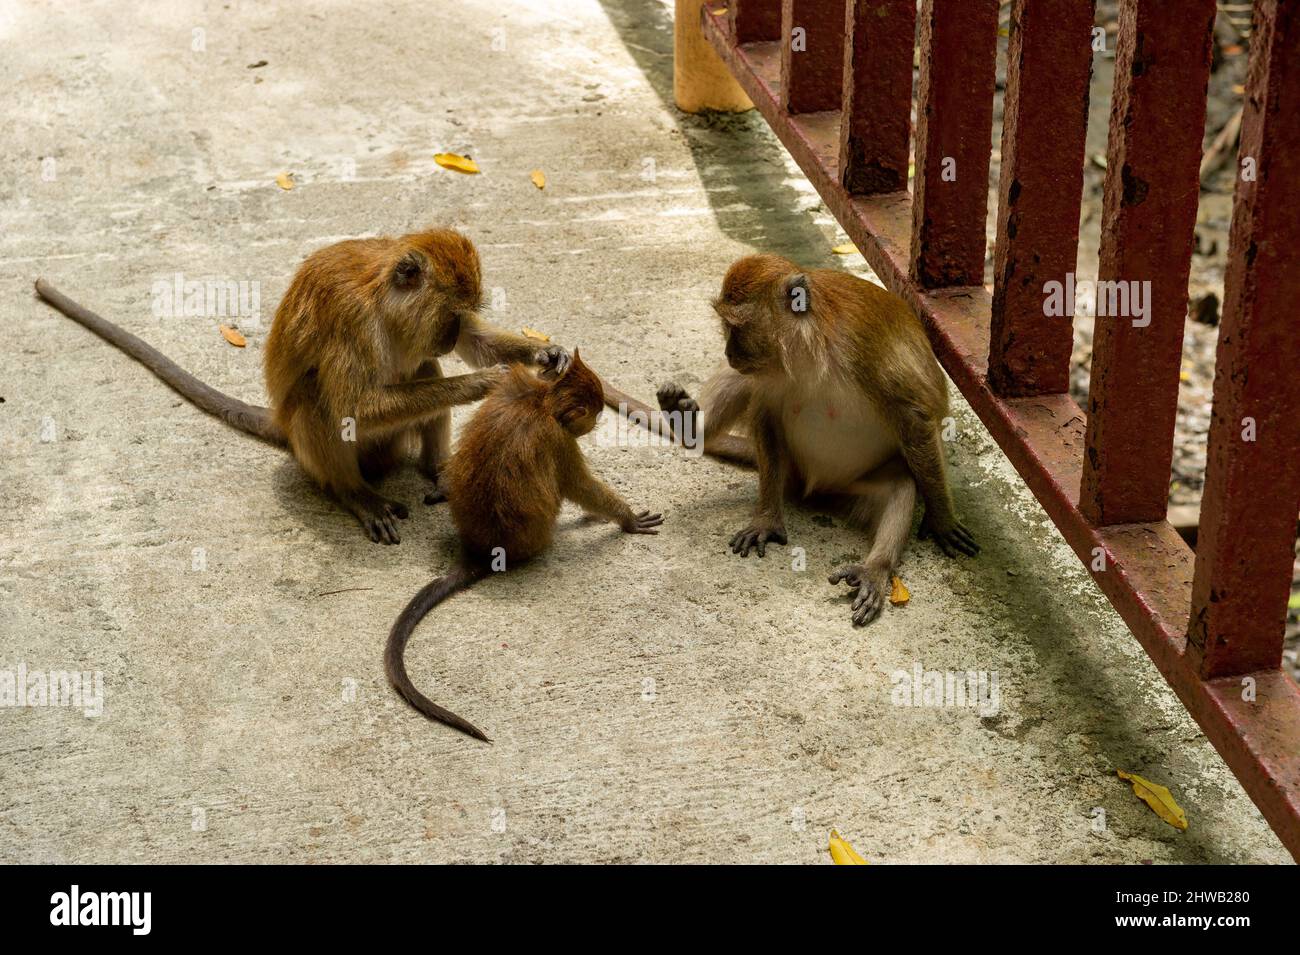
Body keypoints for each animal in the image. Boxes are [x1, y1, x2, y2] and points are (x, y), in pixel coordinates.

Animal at [35, 228, 569, 545]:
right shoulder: (351, 319)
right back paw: (354, 493)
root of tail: (282, 428)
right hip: (329, 443)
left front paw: (543, 355)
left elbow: (474, 347)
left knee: (425, 370)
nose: (448, 335)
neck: (383, 301)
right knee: (320, 402)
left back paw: (437, 471)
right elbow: (355, 407)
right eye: (449, 314)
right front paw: (482, 382)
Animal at [385, 350, 663, 741]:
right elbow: (578, 485)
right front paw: (625, 519)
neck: (541, 400)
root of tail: (482, 549)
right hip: (536, 538)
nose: (594, 424)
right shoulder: (559, 439)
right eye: (592, 414)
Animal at [655, 253, 978, 627]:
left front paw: (942, 519)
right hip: (793, 466)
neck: (807, 347)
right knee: (741, 382)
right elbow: (765, 416)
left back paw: (875, 569)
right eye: (726, 326)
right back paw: (688, 426)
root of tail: (817, 487)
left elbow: (915, 418)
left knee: (900, 485)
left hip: (851, 488)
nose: (728, 352)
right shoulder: (768, 372)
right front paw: (767, 519)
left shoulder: (865, 348)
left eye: (737, 327)